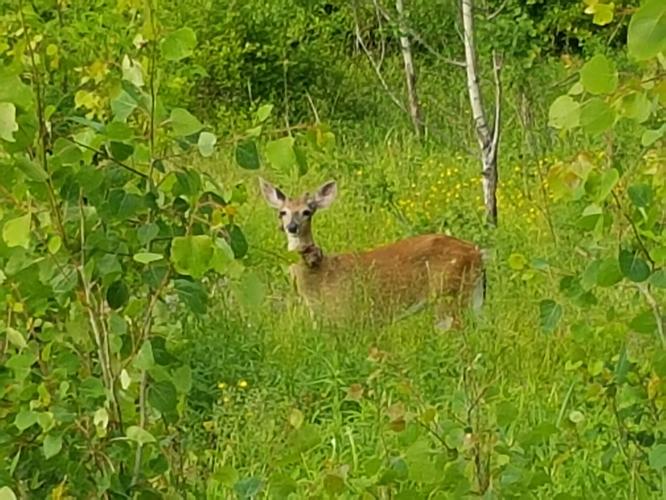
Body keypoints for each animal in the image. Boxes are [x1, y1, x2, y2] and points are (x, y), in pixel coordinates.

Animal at [259, 177, 487, 329]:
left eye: (307, 211)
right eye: (282, 212)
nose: (292, 227)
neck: (318, 276)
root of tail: (478, 253)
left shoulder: (345, 315)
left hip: (449, 293)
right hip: (472, 297)